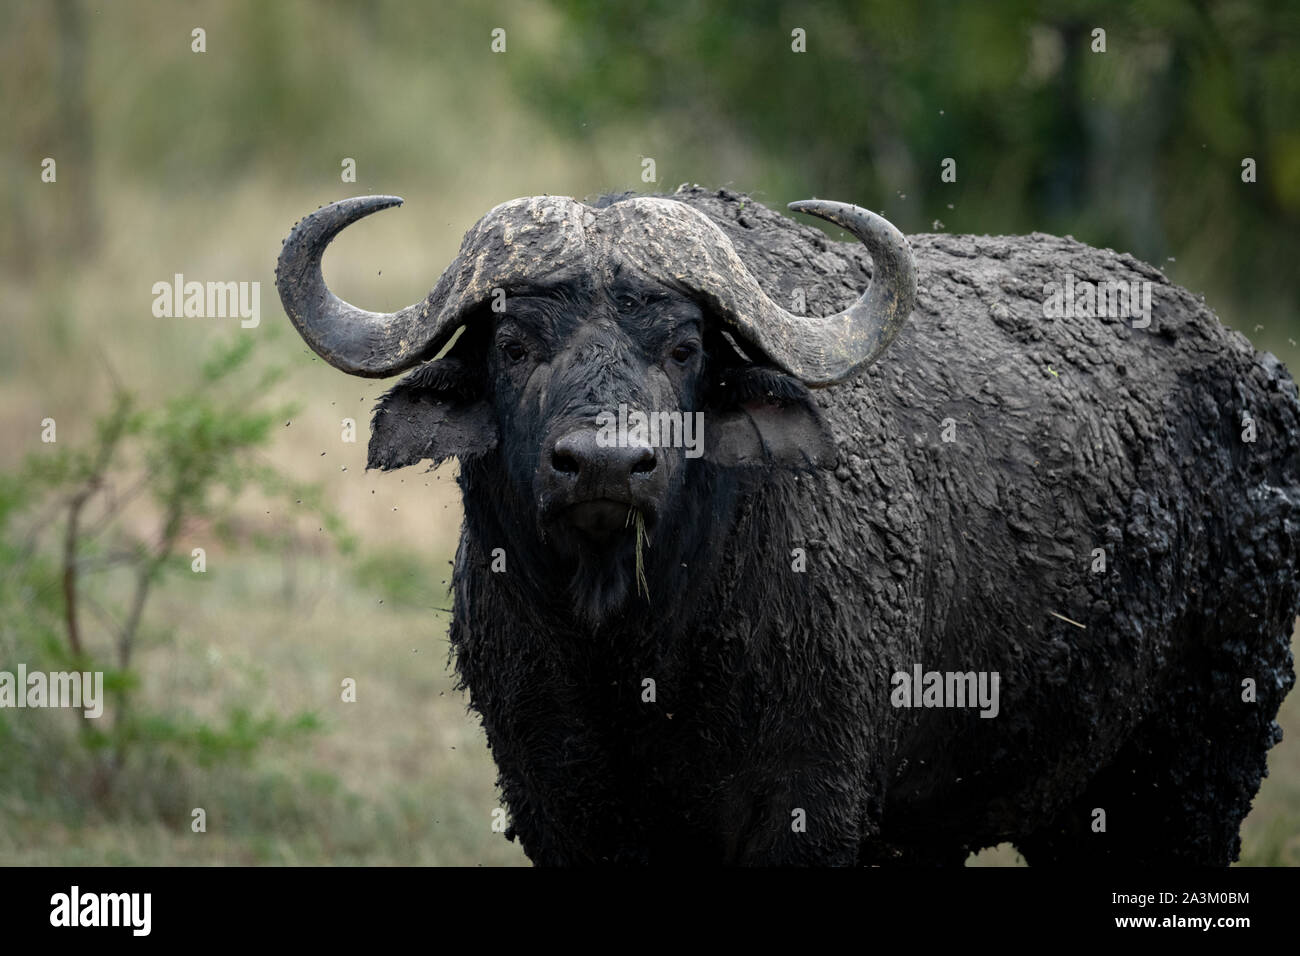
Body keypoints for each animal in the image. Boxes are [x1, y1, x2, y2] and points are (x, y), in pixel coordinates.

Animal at [276, 186, 1299, 865]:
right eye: (516, 345)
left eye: (684, 346)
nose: (605, 464)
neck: (638, 654)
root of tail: (1253, 377)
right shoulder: (556, 802)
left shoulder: (811, 801)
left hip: (1194, 772)